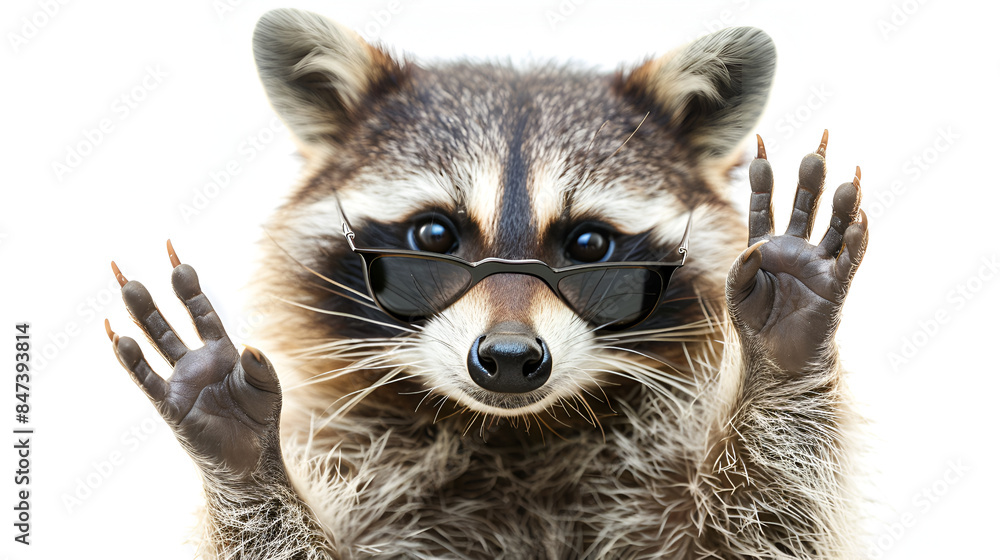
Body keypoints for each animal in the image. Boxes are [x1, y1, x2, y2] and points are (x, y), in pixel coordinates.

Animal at [107, 8, 869, 559]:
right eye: (435, 237)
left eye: (588, 245)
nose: (508, 358)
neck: (510, 434)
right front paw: (241, 451)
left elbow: (756, 527)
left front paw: (782, 340)